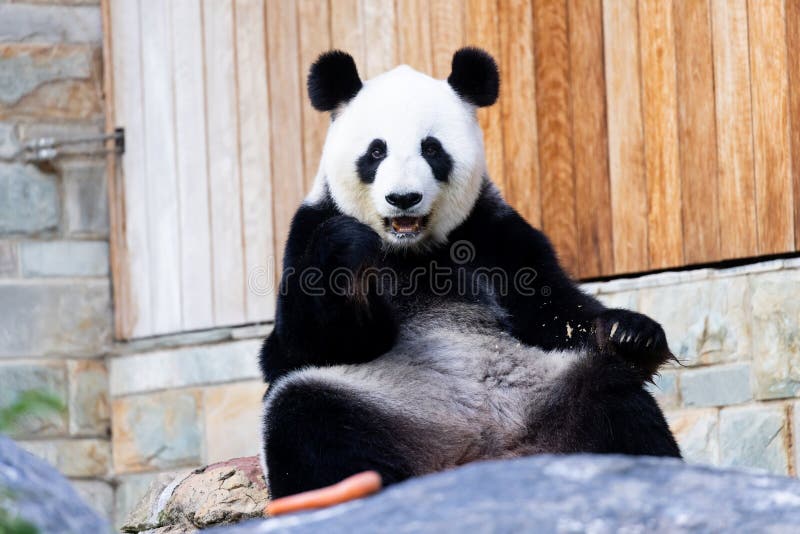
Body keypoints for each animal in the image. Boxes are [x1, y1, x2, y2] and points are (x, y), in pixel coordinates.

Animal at [259, 47, 680, 500]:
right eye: (376, 152)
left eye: (432, 149)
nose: (403, 198)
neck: (410, 249)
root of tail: (480, 456)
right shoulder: (308, 229)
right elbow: (300, 347)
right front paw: (346, 247)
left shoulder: (492, 231)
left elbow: (553, 308)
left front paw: (631, 331)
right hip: (376, 403)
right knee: (307, 417)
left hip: (554, 390)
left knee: (616, 400)